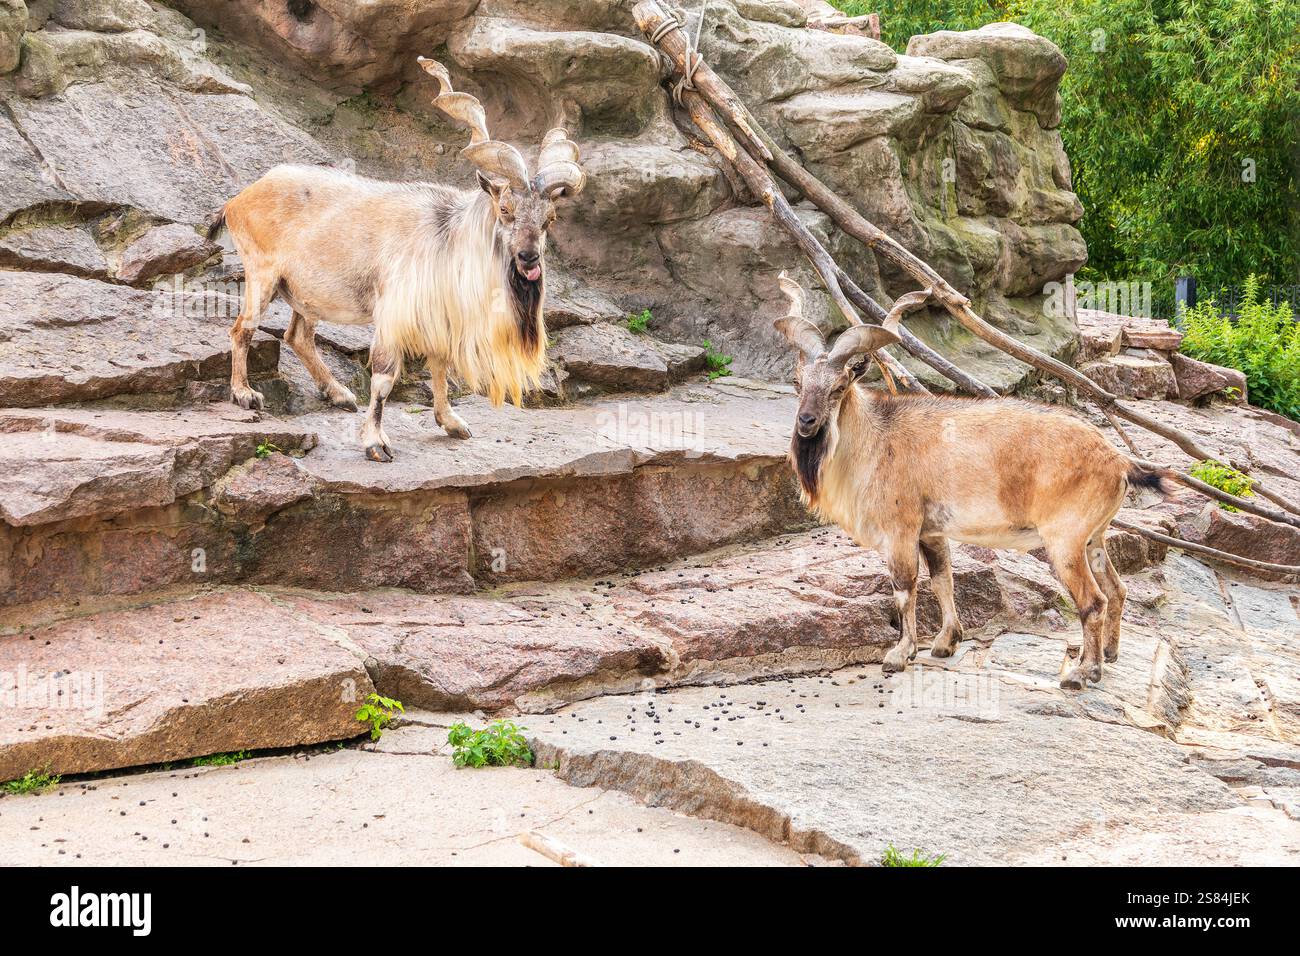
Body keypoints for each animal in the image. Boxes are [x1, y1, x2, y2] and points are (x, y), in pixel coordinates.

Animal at [211, 57, 586, 461]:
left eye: (549, 219)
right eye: (504, 210)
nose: (529, 259)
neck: (448, 238)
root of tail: (239, 199)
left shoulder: (438, 320)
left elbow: (440, 369)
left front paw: (452, 423)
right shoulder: (392, 316)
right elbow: (385, 377)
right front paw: (376, 442)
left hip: (306, 294)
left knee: (298, 336)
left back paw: (339, 395)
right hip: (262, 275)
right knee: (242, 329)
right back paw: (245, 394)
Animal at [773, 274, 1170, 690]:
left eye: (839, 386)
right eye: (798, 382)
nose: (806, 422)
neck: (877, 438)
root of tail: (1118, 460)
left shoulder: (901, 529)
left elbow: (905, 587)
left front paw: (900, 654)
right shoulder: (932, 532)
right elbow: (942, 580)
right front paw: (945, 643)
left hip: (1064, 540)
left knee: (1093, 601)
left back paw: (1083, 672)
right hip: (1094, 538)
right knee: (1117, 589)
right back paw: (1109, 653)